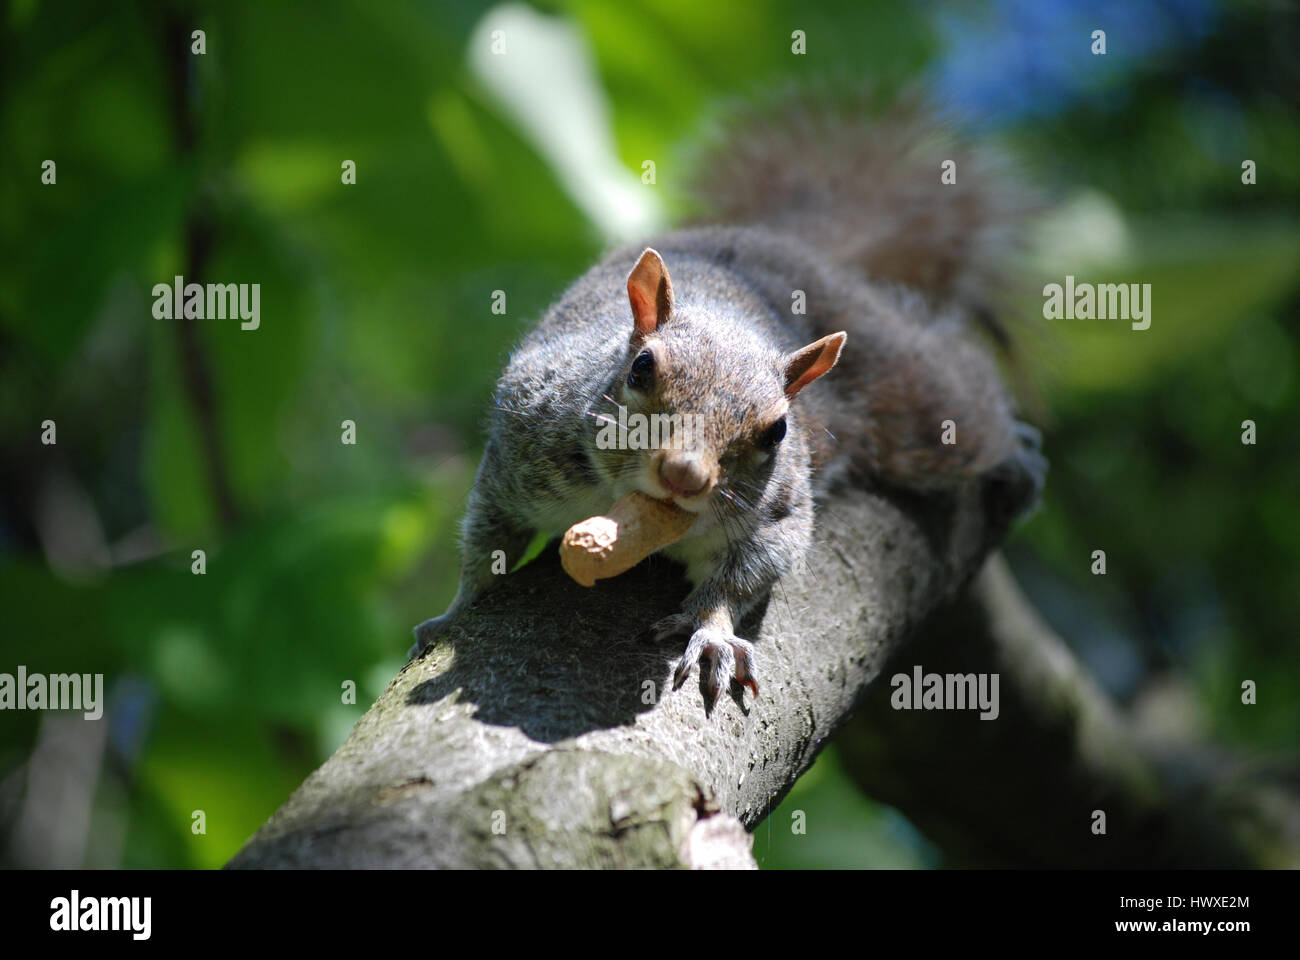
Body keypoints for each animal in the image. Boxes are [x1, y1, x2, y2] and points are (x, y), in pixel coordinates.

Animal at [411, 90, 1046, 710]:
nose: (685, 476)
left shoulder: (779, 510)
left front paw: (711, 633)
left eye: (778, 431)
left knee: (958, 391)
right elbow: (486, 540)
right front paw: (453, 612)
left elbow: (746, 572)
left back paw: (1017, 452)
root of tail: (787, 244)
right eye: (641, 368)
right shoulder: (520, 451)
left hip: (913, 402)